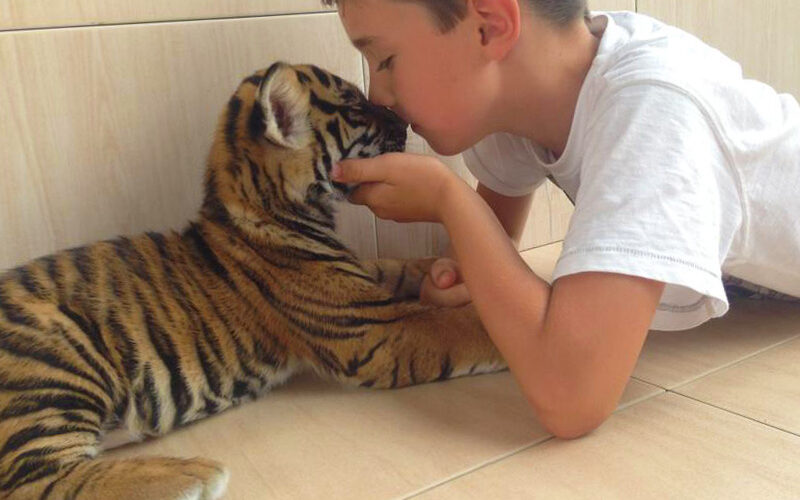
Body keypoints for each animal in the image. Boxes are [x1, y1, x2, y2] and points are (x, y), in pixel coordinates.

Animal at [0, 62, 506, 499]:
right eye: (355, 107)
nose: (405, 121)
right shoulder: (375, 328)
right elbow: (461, 326)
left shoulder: (361, 282)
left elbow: (401, 265)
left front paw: (447, 269)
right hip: (56, 365)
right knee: (34, 482)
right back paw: (195, 475)